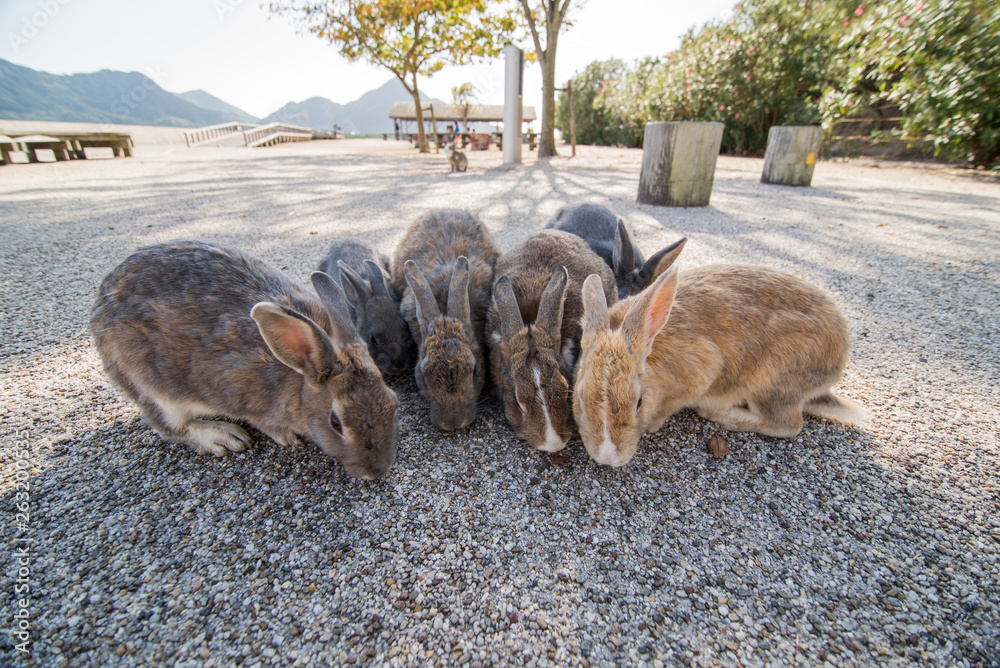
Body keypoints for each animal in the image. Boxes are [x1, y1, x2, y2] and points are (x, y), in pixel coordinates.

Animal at [90, 240, 399, 480]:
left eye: (393, 400)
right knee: (168, 425)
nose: (377, 472)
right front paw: (286, 437)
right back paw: (223, 436)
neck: (300, 379)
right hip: (154, 389)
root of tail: (99, 308)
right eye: (336, 423)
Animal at [574, 264, 867, 467]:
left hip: (772, 386)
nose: (608, 458)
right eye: (579, 399)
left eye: (639, 403)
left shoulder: (701, 373)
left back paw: (718, 413)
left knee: (789, 424)